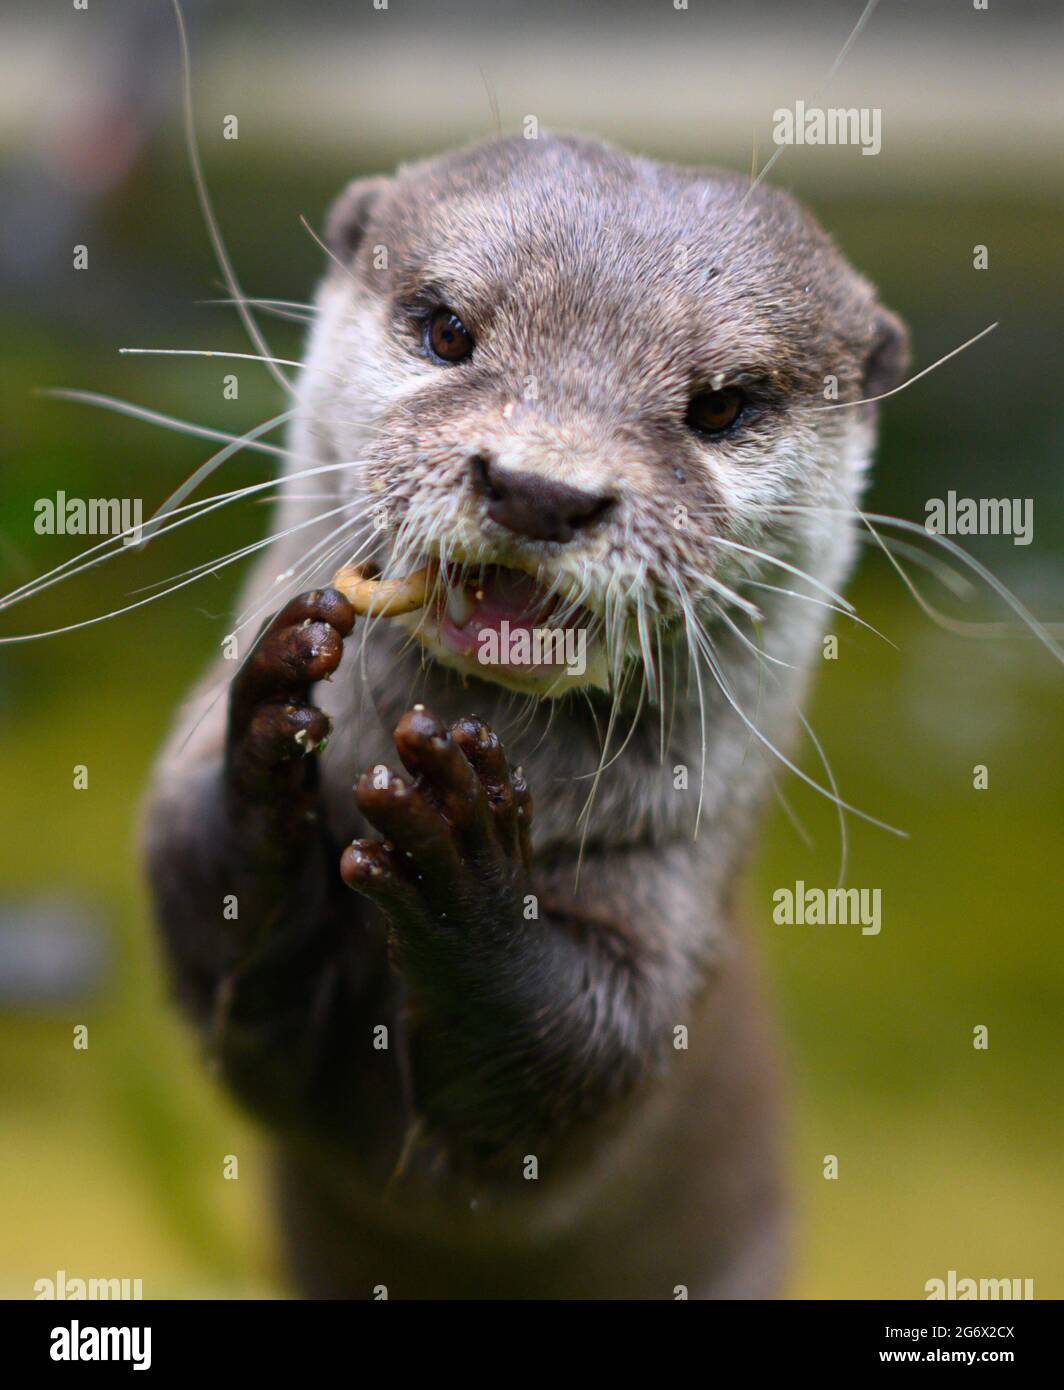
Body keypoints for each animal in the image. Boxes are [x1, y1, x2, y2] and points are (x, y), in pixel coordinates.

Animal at [143, 133, 908, 1299]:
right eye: (448, 330)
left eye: (722, 405)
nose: (542, 487)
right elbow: (212, 922)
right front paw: (266, 731)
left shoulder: (667, 928)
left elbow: (561, 1071)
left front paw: (462, 866)